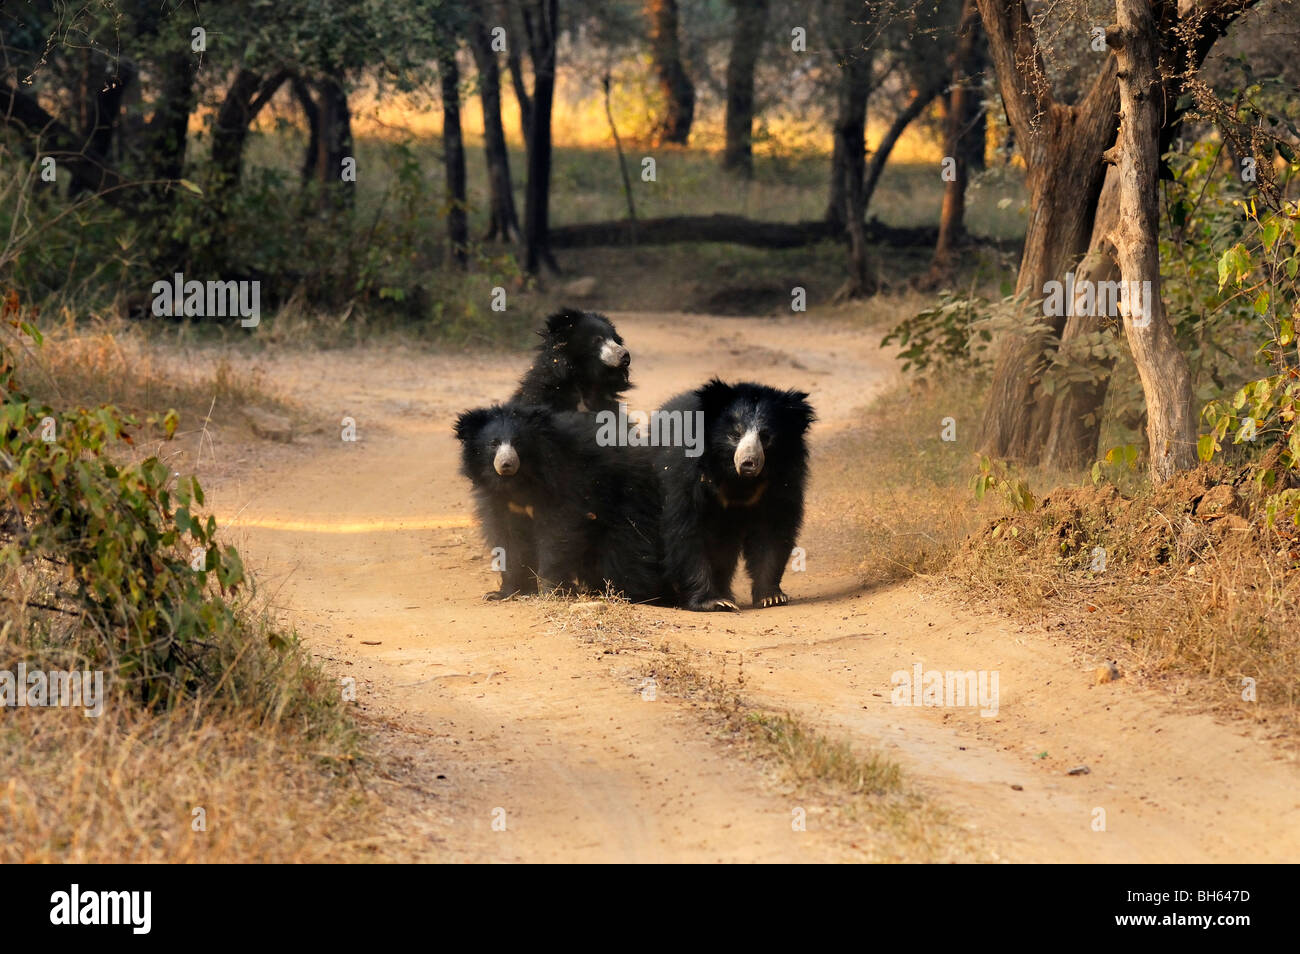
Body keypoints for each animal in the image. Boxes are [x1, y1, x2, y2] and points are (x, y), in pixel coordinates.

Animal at [454, 403, 660, 603]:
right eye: (493, 443)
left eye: (518, 443)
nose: (506, 464)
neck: (519, 481)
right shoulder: (498, 500)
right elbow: (508, 539)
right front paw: (502, 593)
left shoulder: (565, 484)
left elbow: (557, 533)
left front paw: (551, 591)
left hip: (625, 498)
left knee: (623, 549)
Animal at [653, 379, 814, 611]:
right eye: (735, 434)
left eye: (765, 437)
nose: (748, 462)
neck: (737, 478)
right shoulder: (685, 473)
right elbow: (686, 528)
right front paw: (713, 601)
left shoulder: (780, 483)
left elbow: (773, 530)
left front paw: (771, 597)